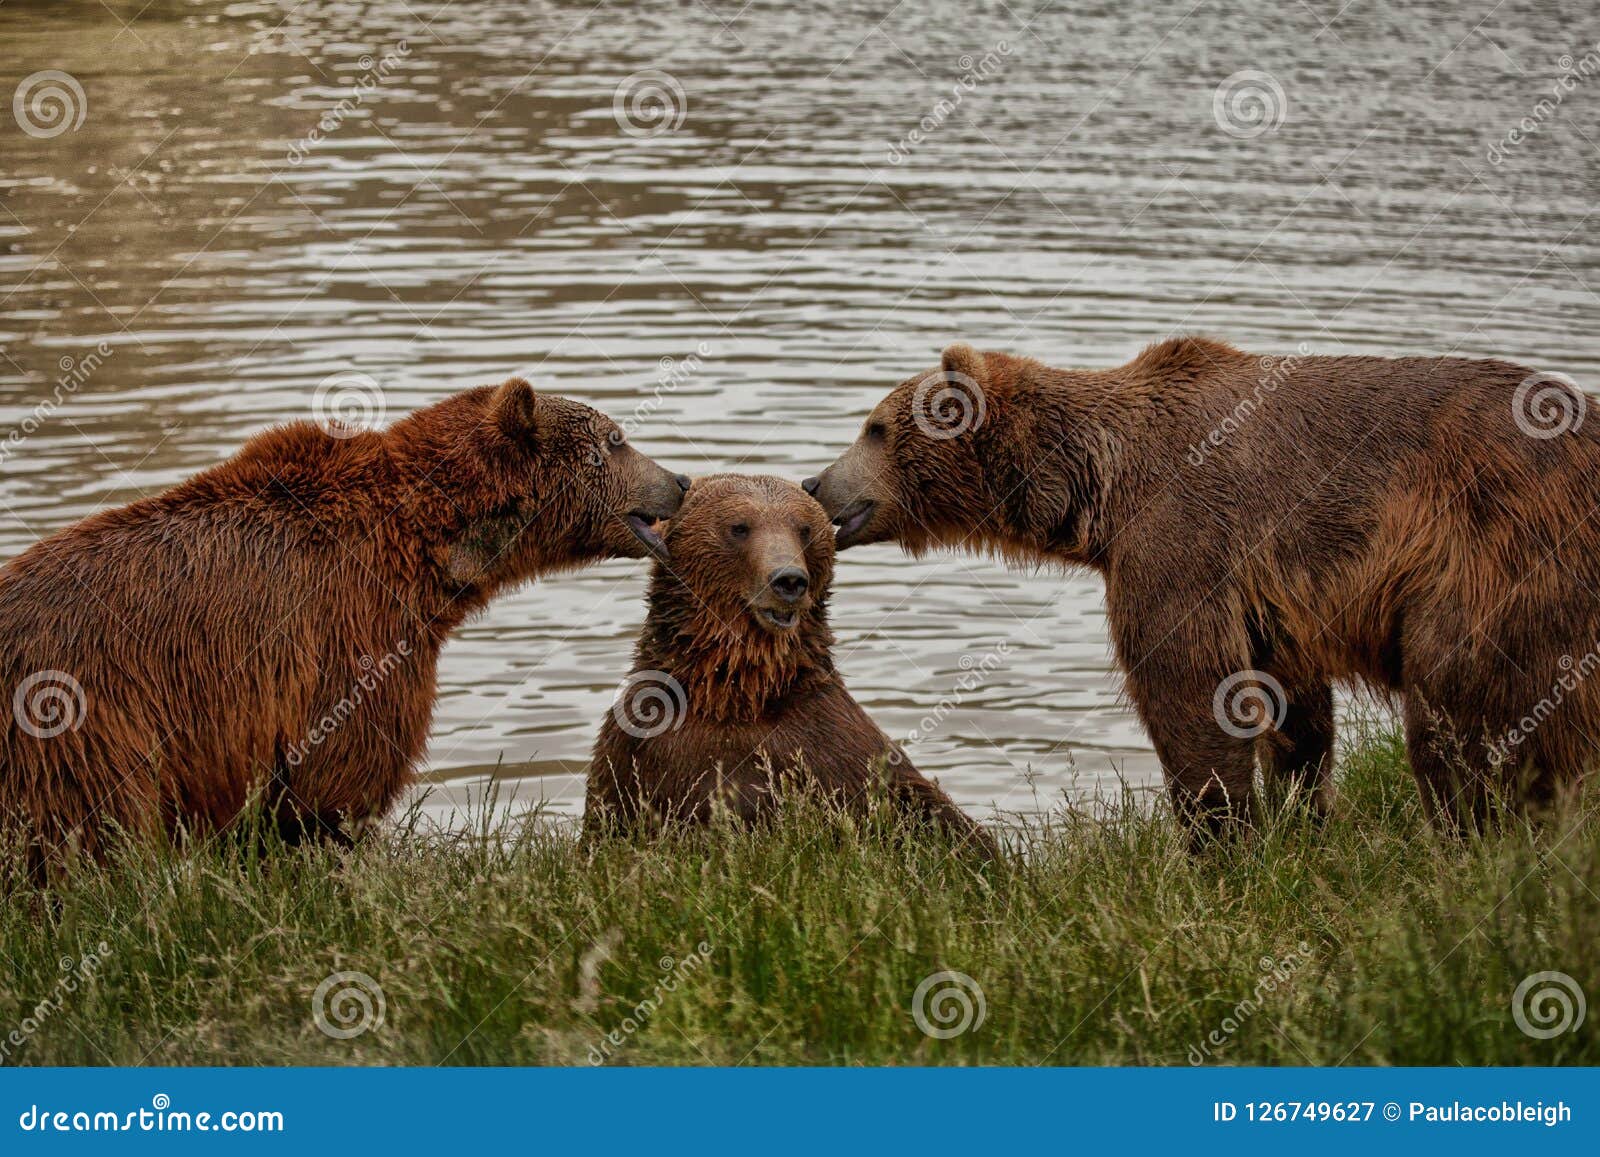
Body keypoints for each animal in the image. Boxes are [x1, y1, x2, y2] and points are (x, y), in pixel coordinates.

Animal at [0, 376, 688, 868]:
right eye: (617, 438)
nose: (679, 479)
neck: (429, 545)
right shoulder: (346, 629)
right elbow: (341, 769)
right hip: (76, 721)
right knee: (80, 837)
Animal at [587, 473, 996, 859]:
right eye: (739, 526)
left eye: (803, 528)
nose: (788, 580)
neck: (738, 693)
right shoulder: (641, 748)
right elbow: (609, 823)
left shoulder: (832, 745)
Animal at [803, 338, 1600, 842]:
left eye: (874, 427)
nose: (814, 482)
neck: (1099, 487)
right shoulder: (1271, 601)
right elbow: (1294, 709)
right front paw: (1300, 816)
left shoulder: (1181, 535)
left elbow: (1189, 687)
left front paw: (1218, 837)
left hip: (1497, 559)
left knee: (1459, 713)